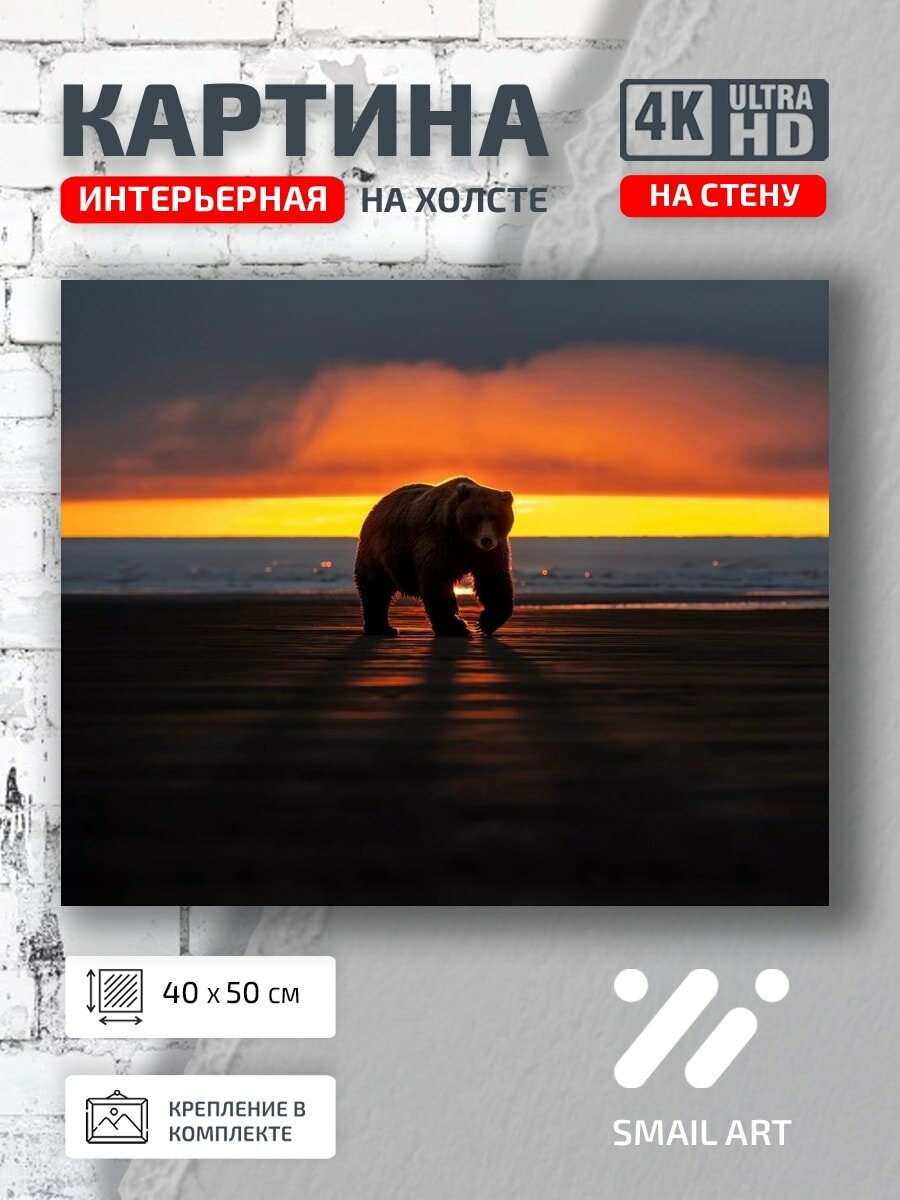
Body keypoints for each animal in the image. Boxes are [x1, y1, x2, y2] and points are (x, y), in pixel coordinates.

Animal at [354, 476, 515, 637]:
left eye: (497, 518)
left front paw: (485, 622)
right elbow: (437, 579)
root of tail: (376, 506)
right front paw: (456, 627)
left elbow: (493, 580)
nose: (486, 540)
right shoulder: (437, 540)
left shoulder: (491, 551)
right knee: (376, 587)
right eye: (475, 518)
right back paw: (381, 628)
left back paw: (384, 628)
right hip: (379, 549)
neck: (463, 539)